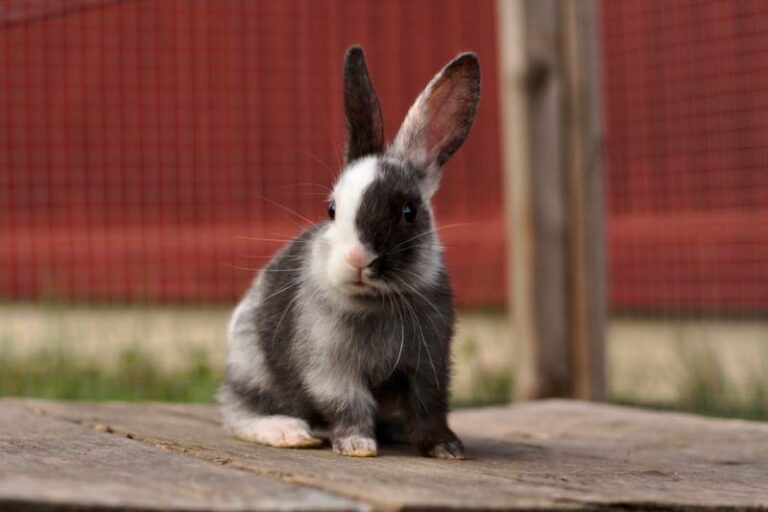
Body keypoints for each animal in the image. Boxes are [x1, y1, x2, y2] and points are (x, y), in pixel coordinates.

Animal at [218, 46, 480, 459]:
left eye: (409, 211)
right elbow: (348, 404)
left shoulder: (430, 365)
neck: (376, 301)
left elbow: (430, 407)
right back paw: (288, 431)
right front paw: (357, 445)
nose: (358, 260)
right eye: (331, 209)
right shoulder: (331, 369)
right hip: (251, 368)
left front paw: (446, 448)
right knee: (237, 413)